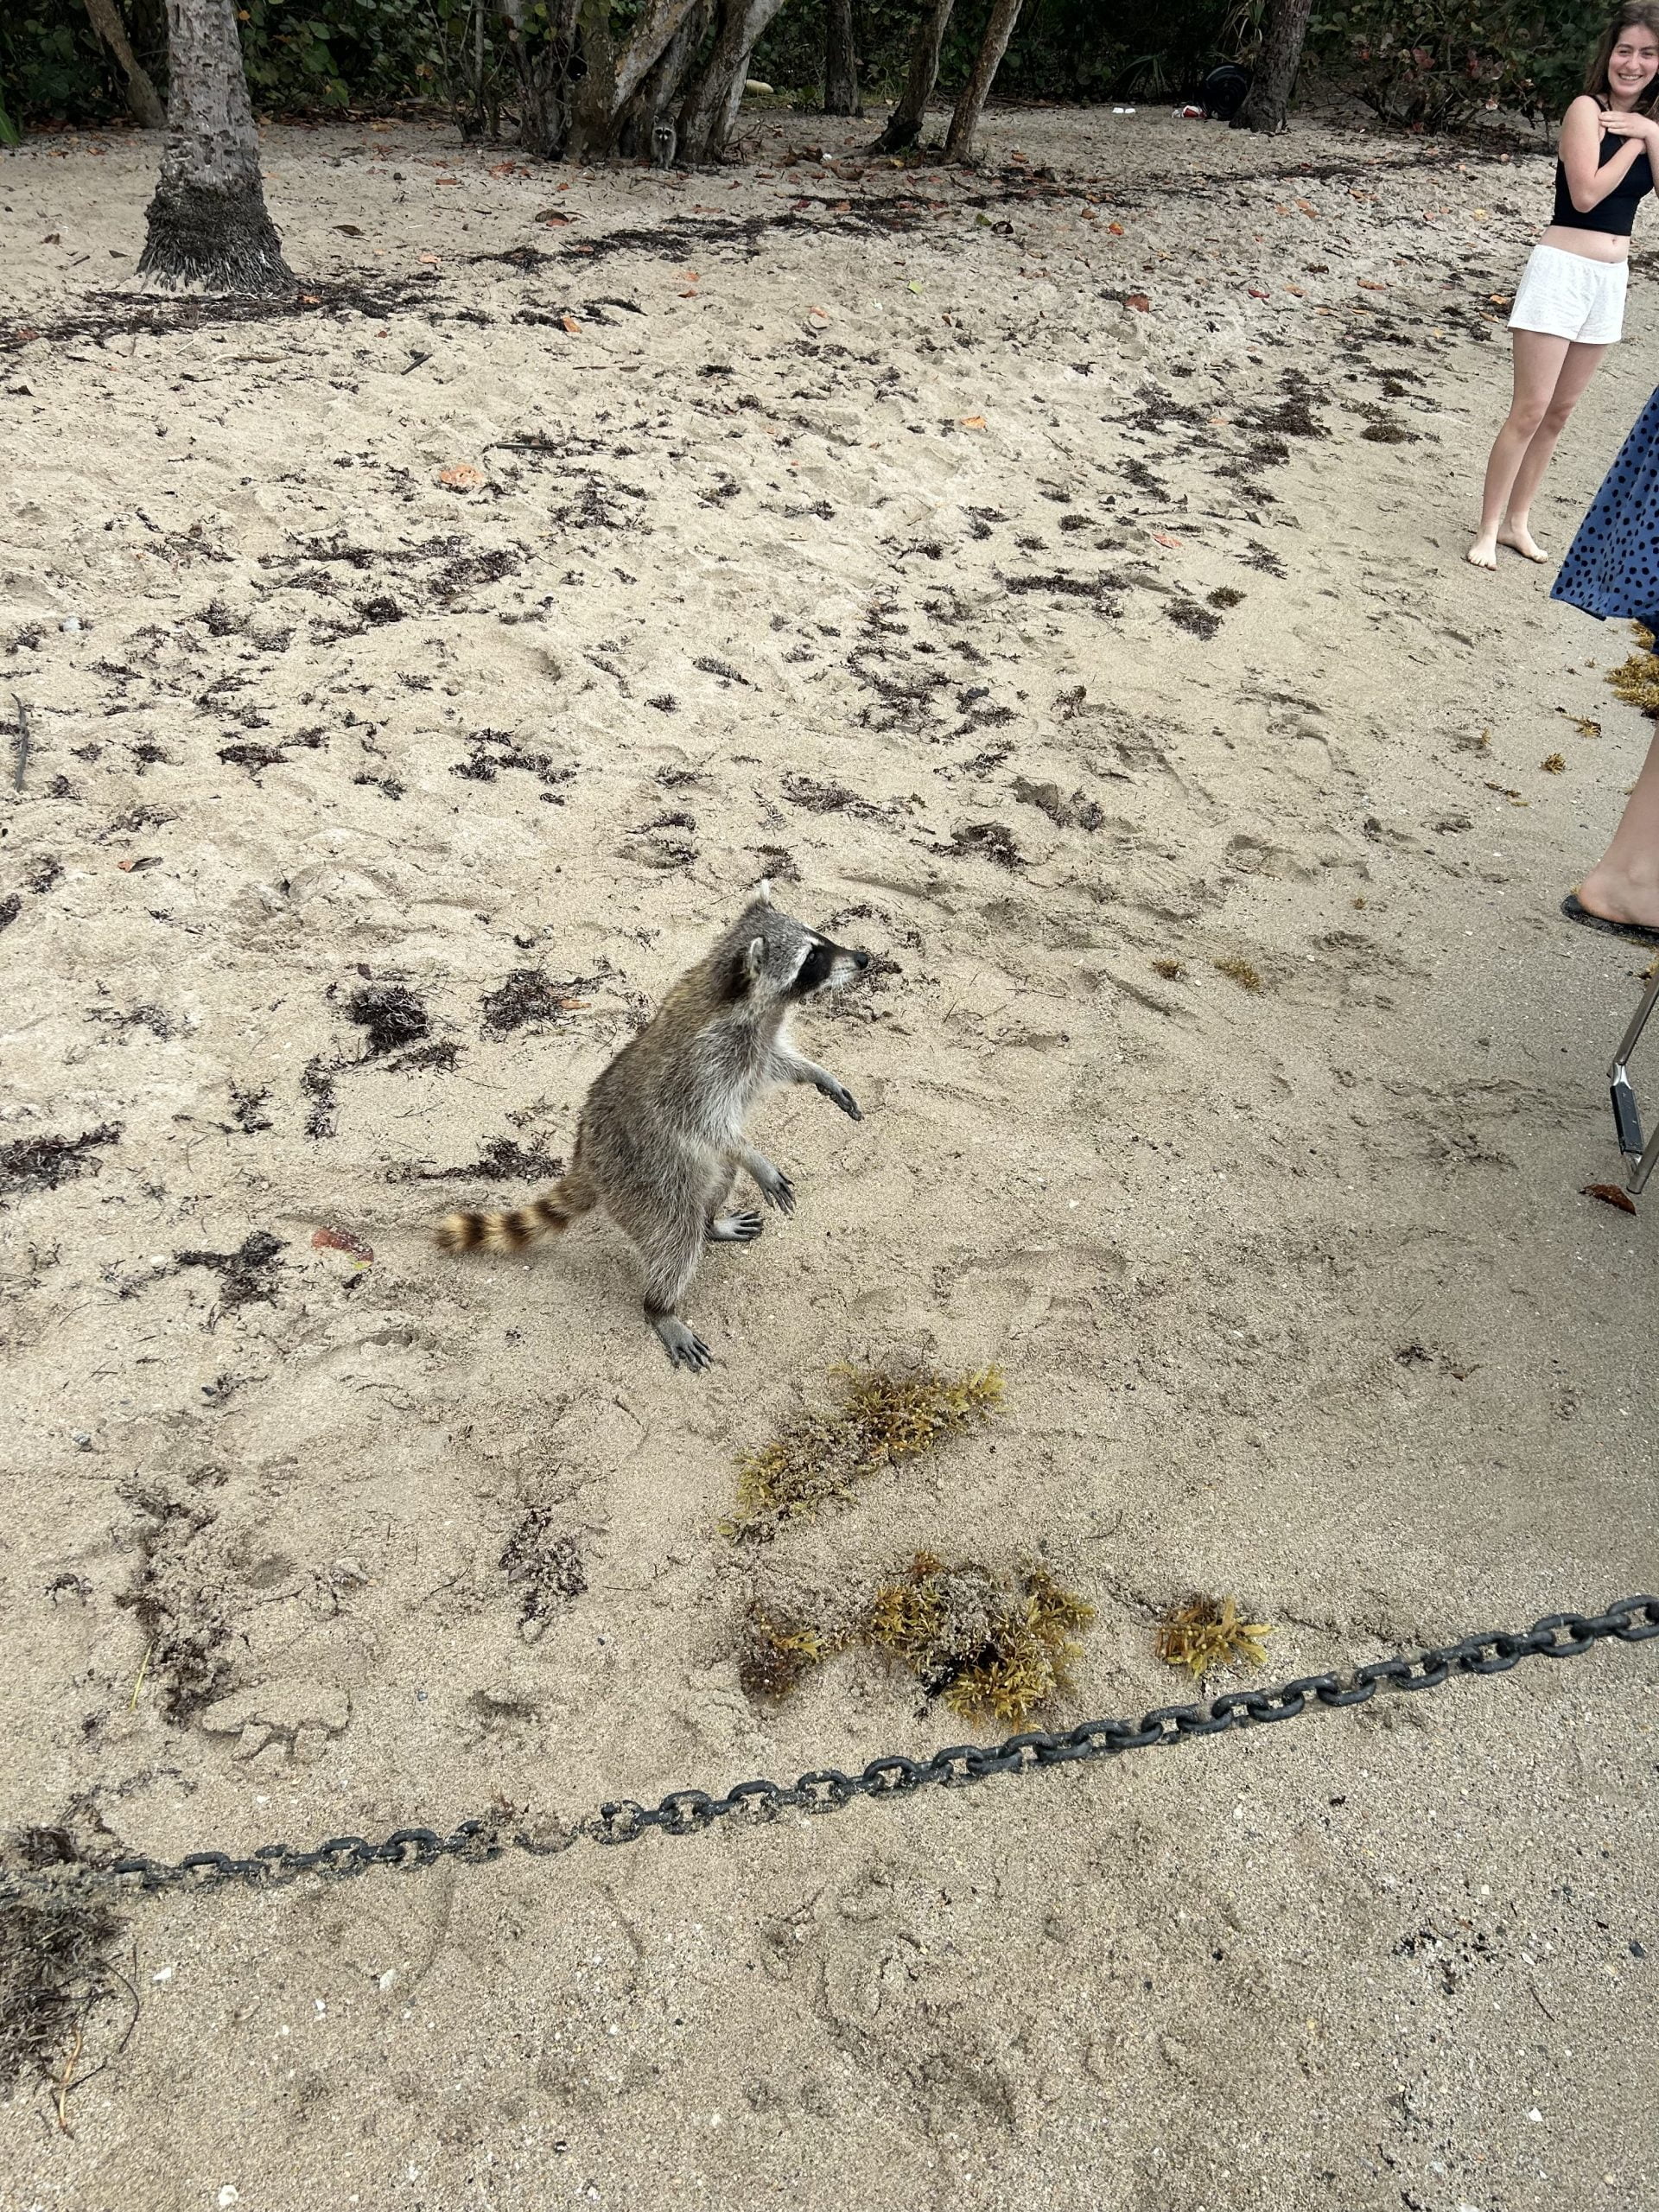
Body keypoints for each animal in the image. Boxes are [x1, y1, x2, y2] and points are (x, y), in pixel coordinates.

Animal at [437, 886, 870, 1371]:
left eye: (820, 939)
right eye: (812, 957)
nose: (864, 958)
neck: (747, 1002)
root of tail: (587, 1160)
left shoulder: (757, 1049)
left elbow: (779, 1065)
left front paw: (818, 1075)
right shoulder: (699, 1070)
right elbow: (711, 1125)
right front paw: (758, 1160)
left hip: (690, 1172)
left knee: (717, 1180)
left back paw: (710, 1223)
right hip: (645, 1184)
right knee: (675, 1237)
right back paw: (660, 1305)